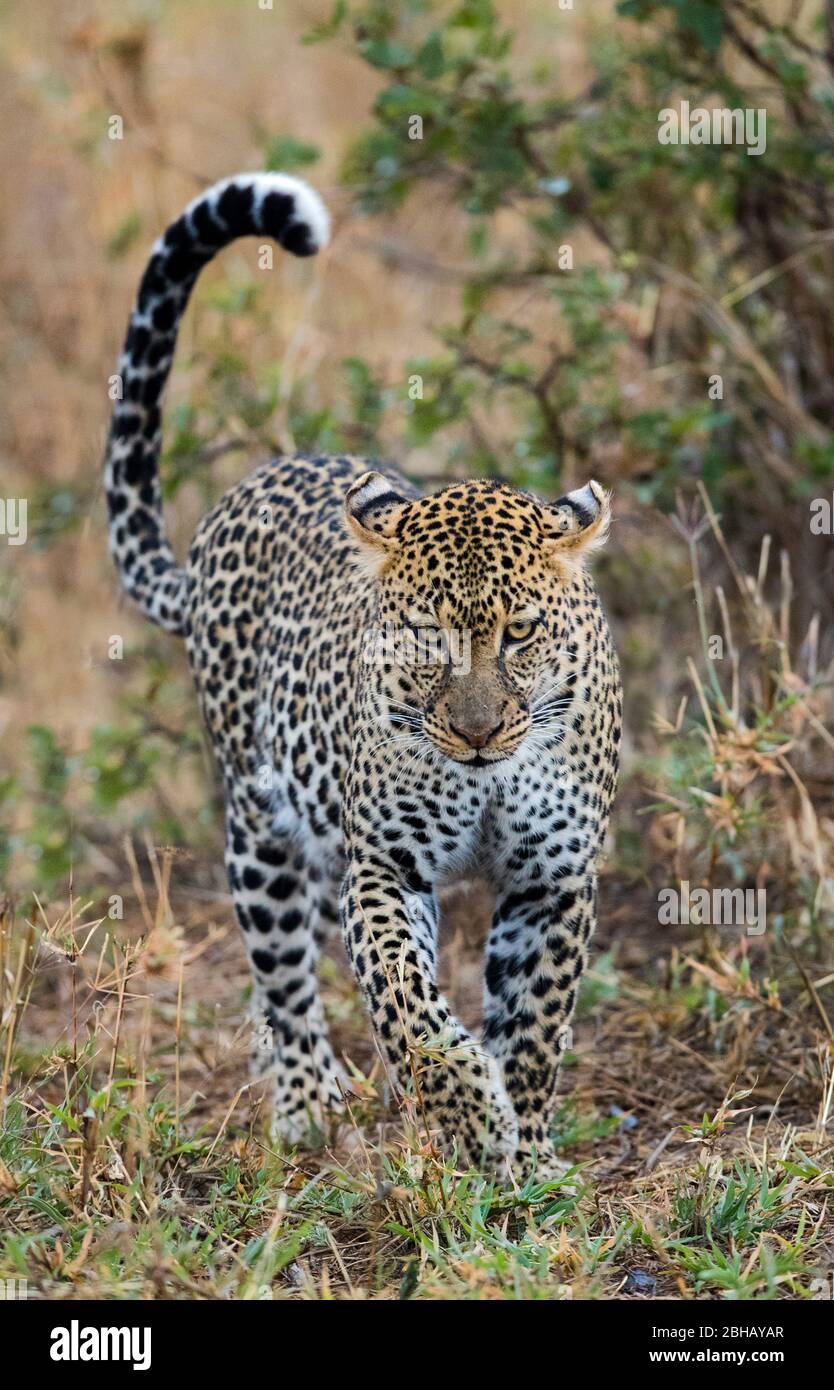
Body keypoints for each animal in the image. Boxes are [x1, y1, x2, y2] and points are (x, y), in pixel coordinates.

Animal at [104, 170, 622, 1178]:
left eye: (521, 631)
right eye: (424, 634)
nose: (476, 733)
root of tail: (237, 500)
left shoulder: (554, 878)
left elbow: (537, 1023)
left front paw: (529, 1151)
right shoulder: (386, 863)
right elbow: (407, 1003)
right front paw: (472, 1117)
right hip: (261, 827)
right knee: (284, 974)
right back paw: (308, 1103)